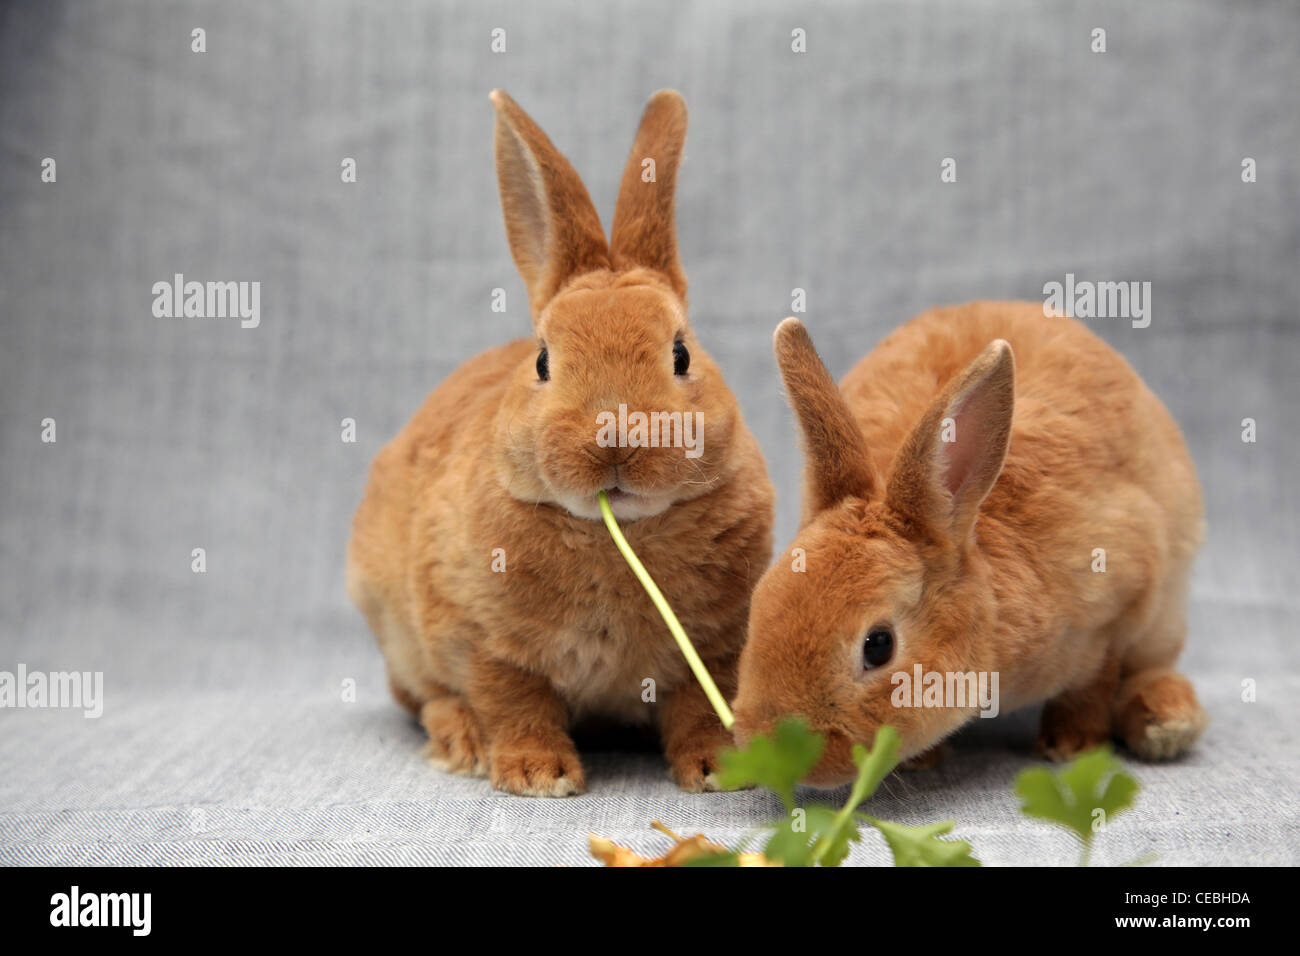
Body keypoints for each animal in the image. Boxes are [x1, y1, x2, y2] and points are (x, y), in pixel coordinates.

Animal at [347, 90, 774, 797]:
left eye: (681, 354)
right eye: (544, 361)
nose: (615, 439)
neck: (614, 534)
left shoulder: (714, 649)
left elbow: (696, 709)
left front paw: (718, 770)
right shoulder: (484, 643)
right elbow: (515, 705)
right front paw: (538, 776)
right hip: (396, 631)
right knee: (426, 697)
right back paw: (460, 743)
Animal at [732, 302, 1207, 786]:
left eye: (878, 645)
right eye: (759, 605)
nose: (768, 750)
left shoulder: (1117, 606)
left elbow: (1092, 685)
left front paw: (1071, 746)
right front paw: (922, 760)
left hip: (1166, 609)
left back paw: (1166, 723)